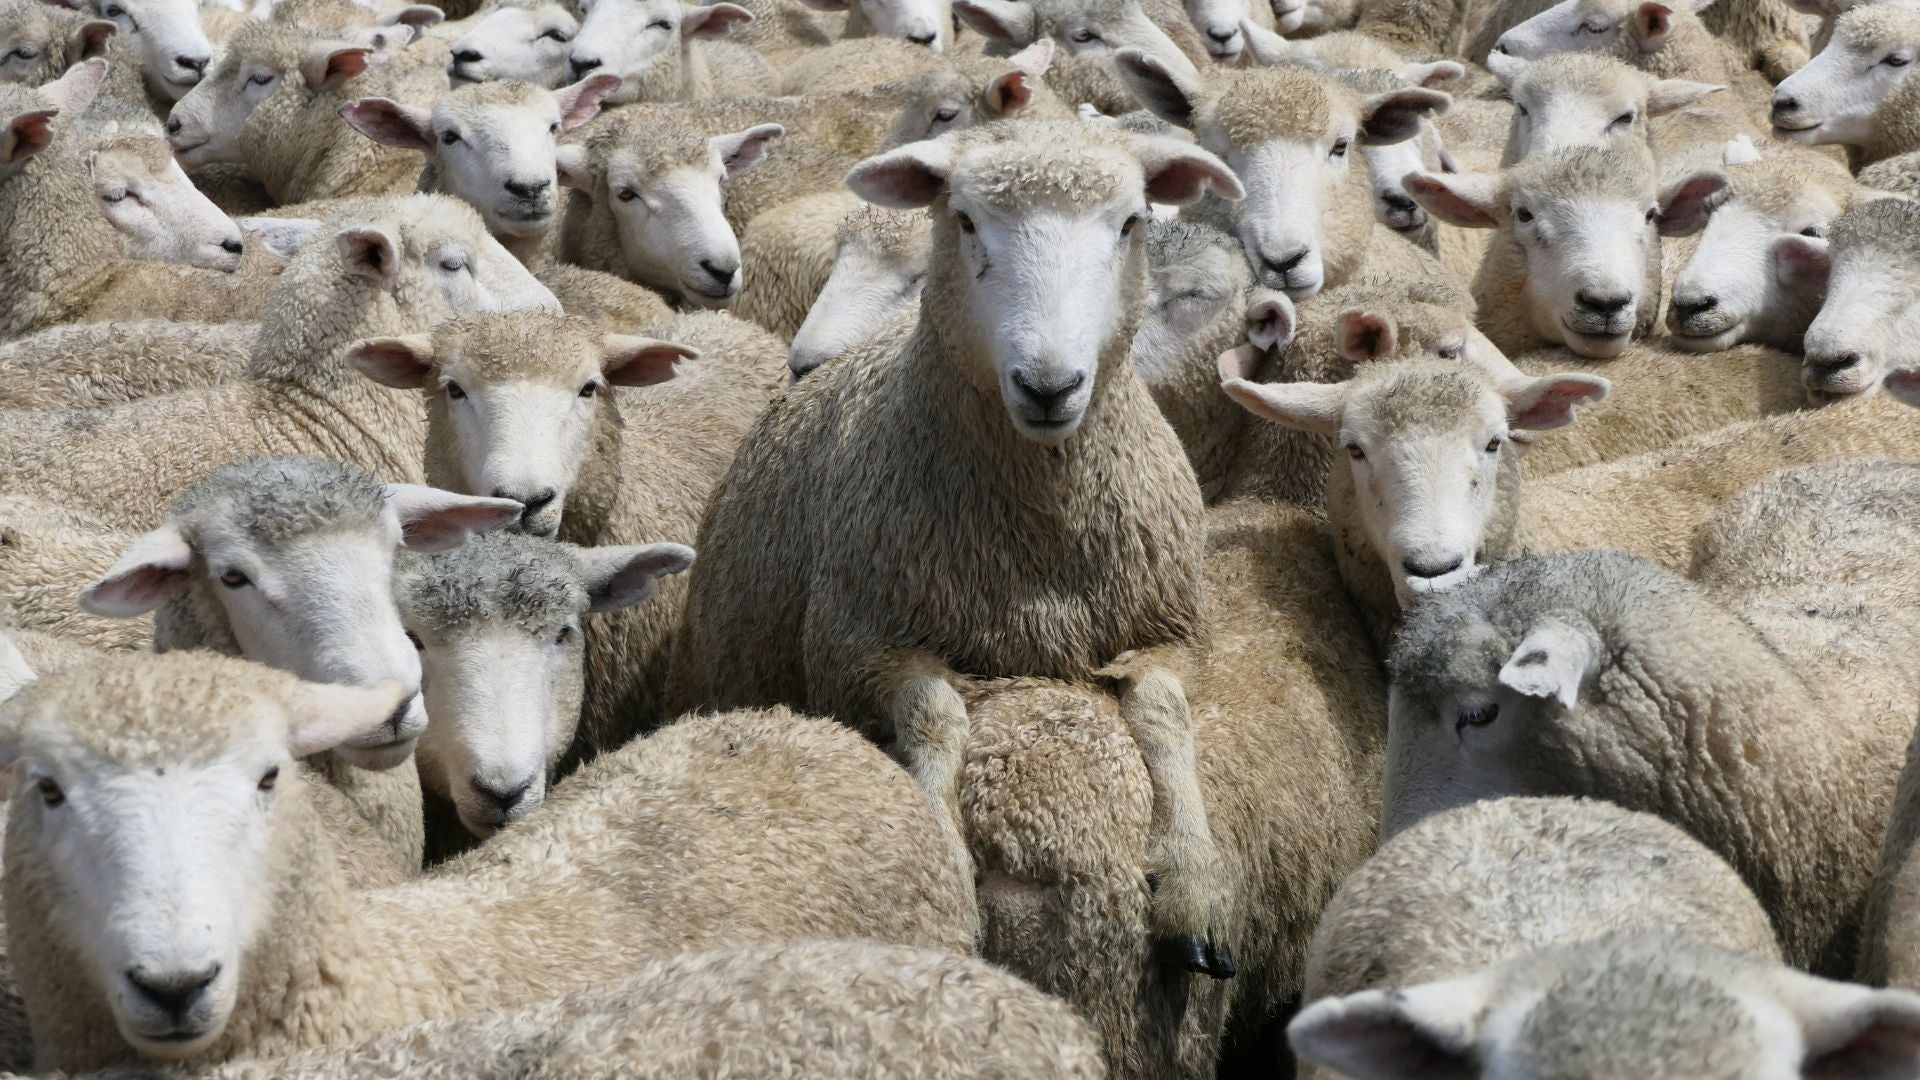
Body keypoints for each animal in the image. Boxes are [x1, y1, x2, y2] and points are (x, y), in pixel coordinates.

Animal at [670, 120, 1248, 975]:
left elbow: (1165, 712)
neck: (1039, 528)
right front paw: (945, 868)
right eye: (967, 222)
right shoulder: (855, 642)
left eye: (1130, 223)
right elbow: (935, 715)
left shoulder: (1170, 625)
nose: (1049, 385)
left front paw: (1194, 880)